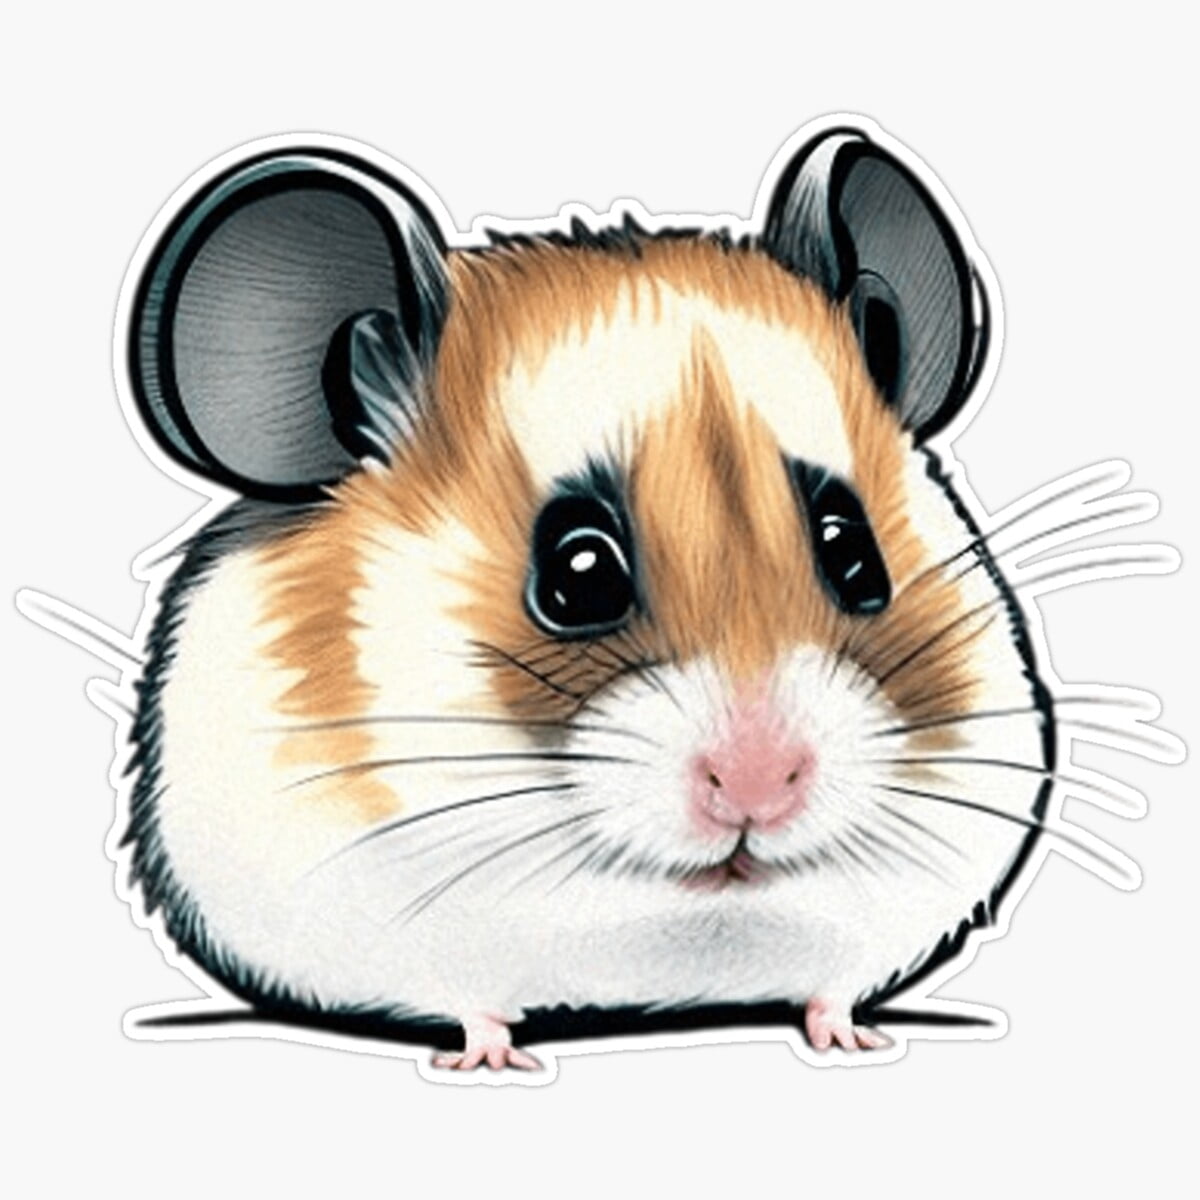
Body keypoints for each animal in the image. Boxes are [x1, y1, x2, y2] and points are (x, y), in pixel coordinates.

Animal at [117, 125, 1050, 1071]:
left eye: (852, 552)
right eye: (580, 573)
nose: (759, 788)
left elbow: (833, 988)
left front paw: (851, 1039)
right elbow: (473, 1004)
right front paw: (490, 1061)